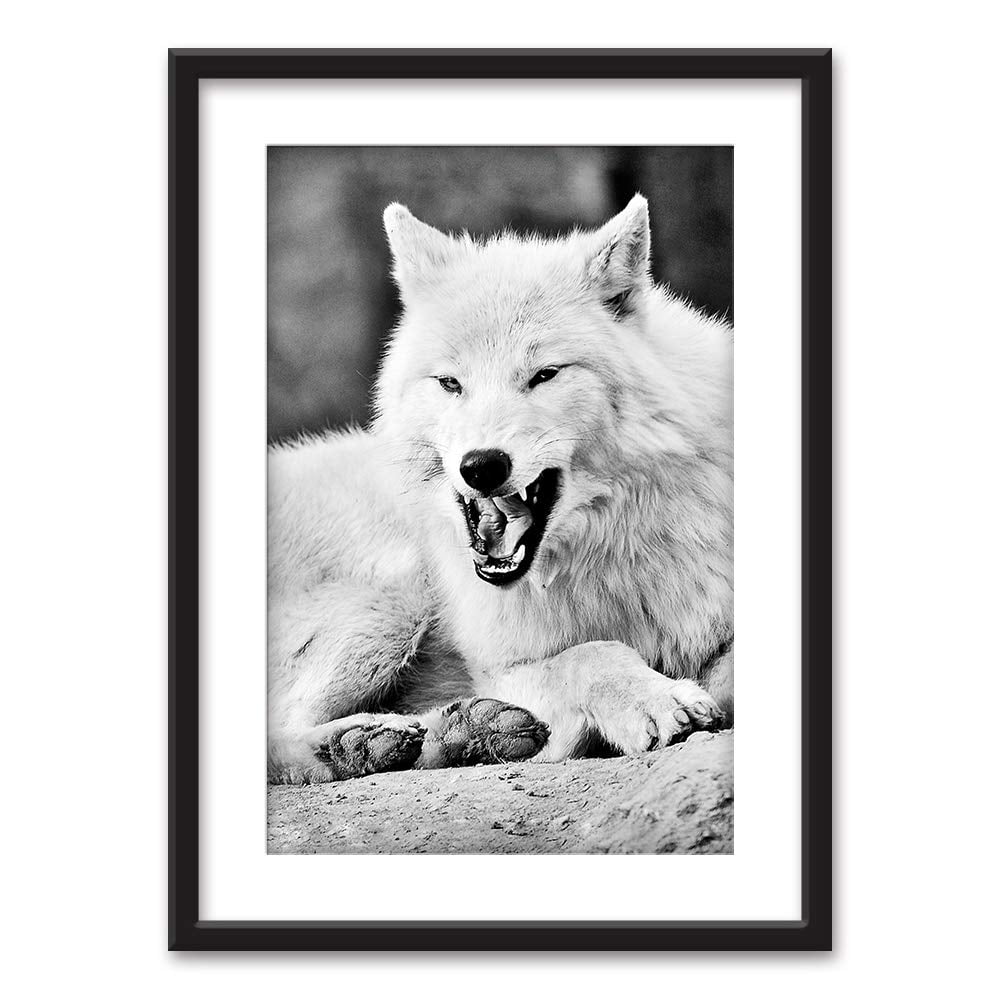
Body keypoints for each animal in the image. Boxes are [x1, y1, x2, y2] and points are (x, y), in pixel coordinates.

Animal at [268, 195, 733, 784]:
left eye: (544, 375)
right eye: (450, 383)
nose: (481, 466)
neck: (606, 556)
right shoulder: (501, 666)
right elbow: (590, 653)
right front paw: (655, 703)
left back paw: (468, 732)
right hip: (394, 595)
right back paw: (362, 743)